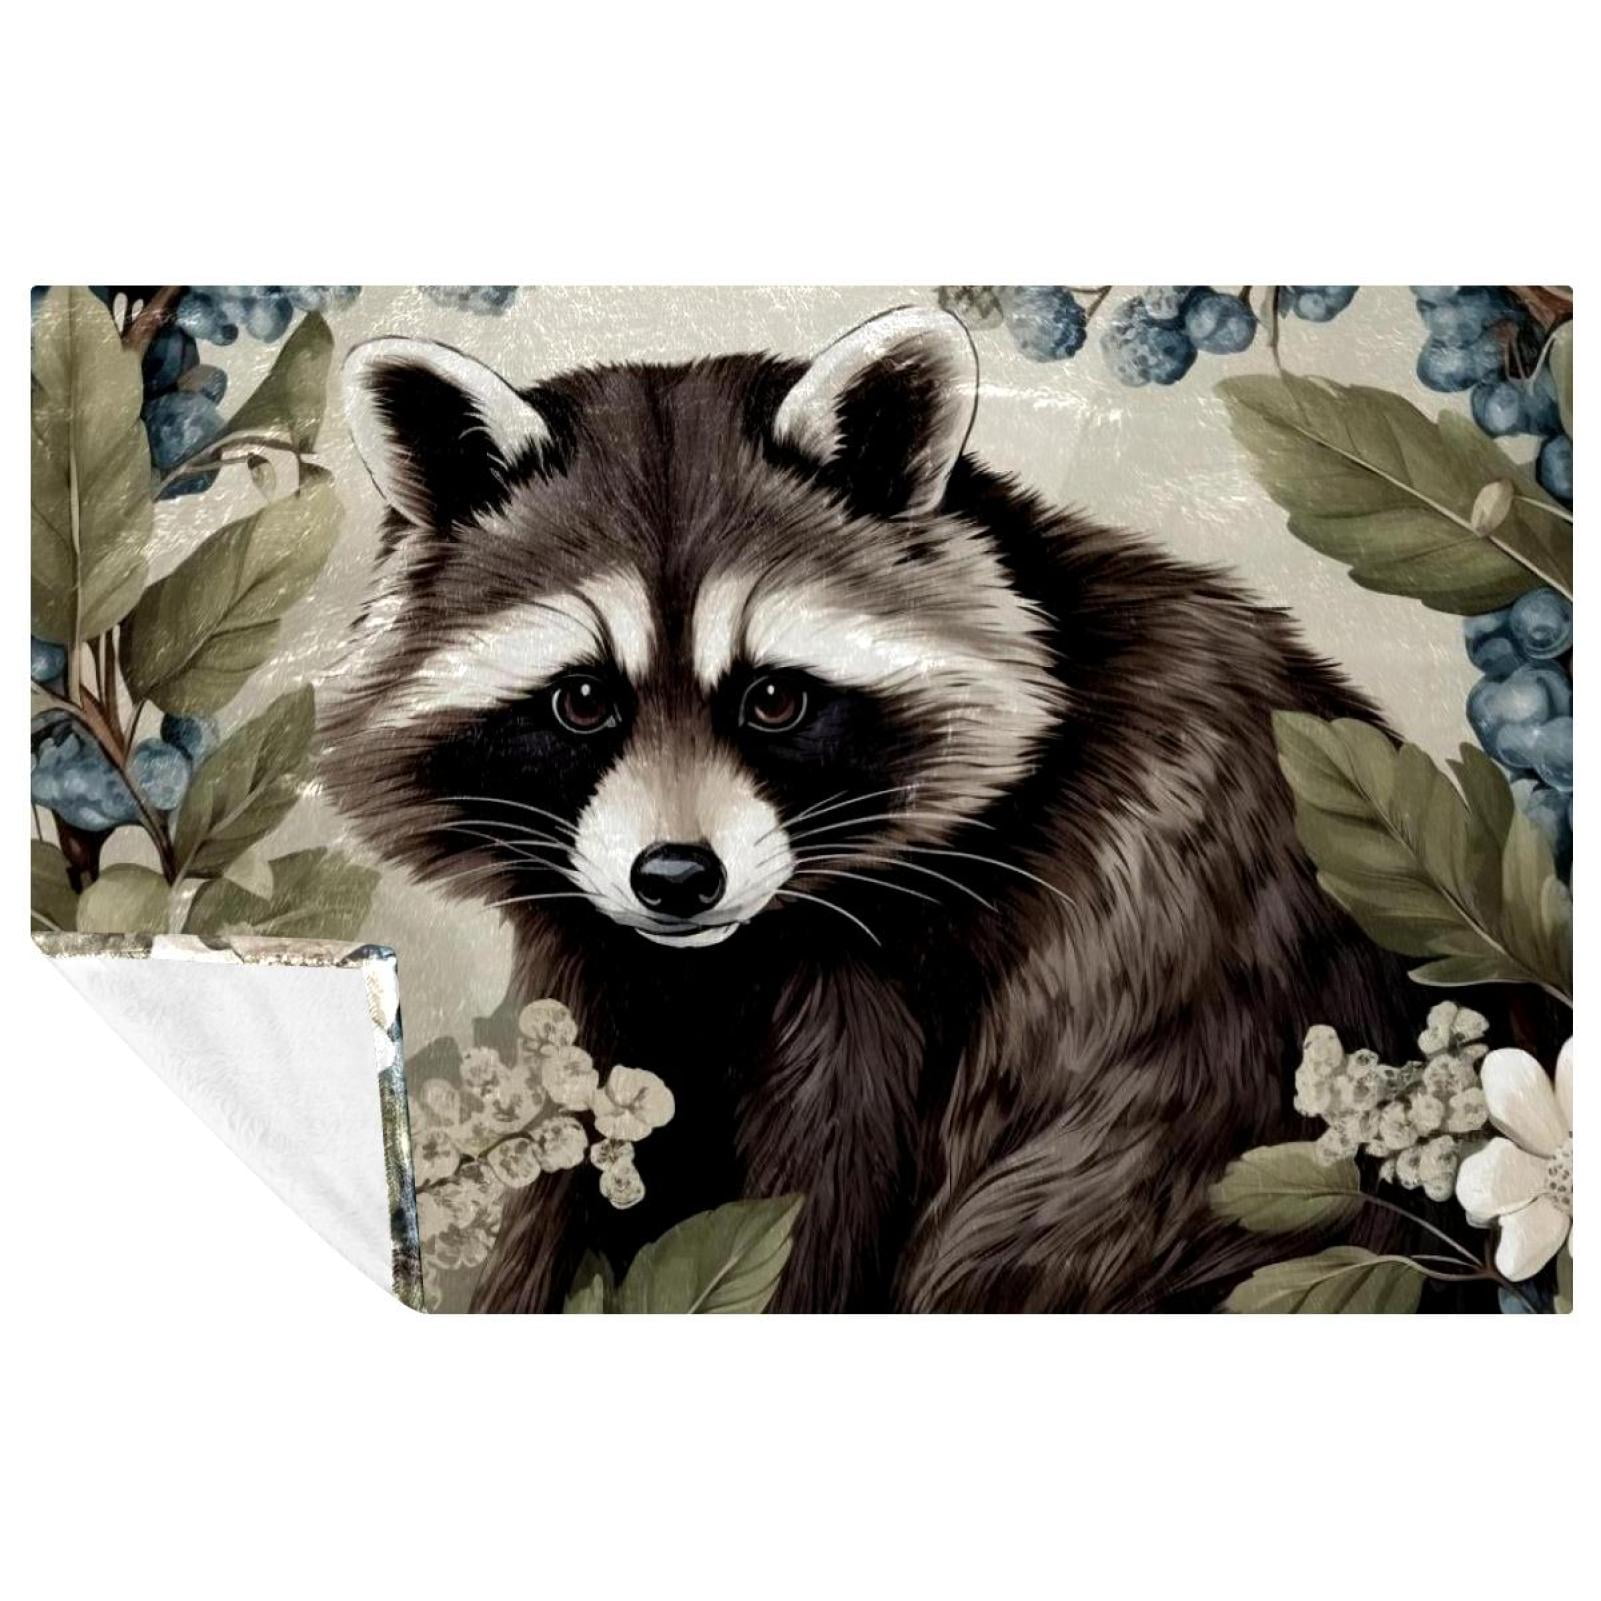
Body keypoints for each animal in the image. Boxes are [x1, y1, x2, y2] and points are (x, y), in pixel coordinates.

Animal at [323, 306, 1416, 1313]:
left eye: (773, 699)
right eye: (583, 701)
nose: (676, 877)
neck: (723, 954)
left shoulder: (912, 972)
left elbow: (824, 1197)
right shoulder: (604, 960)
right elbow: (585, 1162)